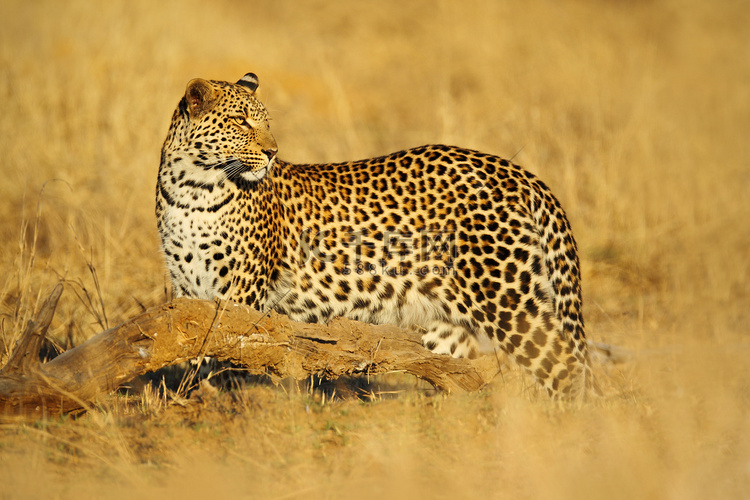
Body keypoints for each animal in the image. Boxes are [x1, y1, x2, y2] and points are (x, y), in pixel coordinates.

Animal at [156, 72, 591, 398]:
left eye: (266, 124)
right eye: (241, 121)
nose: (272, 153)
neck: (192, 189)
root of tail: (519, 173)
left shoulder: (241, 290)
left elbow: (224, 350)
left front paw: (219, 402)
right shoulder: (187, 289)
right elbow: (195, 346)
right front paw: (191, 395)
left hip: (506, 298)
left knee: (568, 368)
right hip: (451, 321)